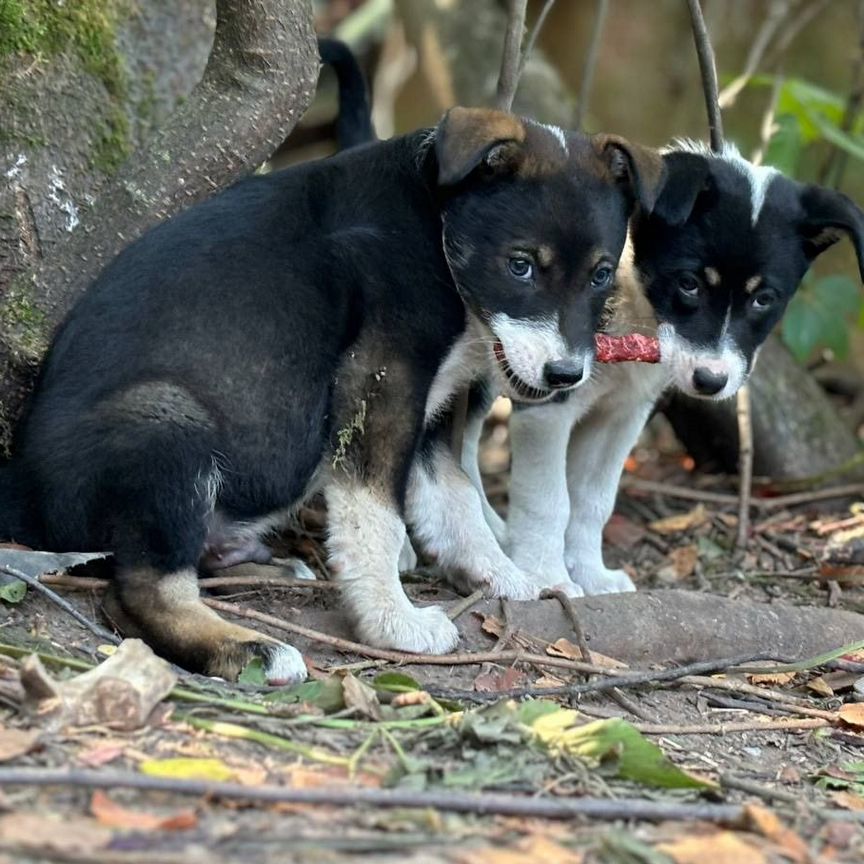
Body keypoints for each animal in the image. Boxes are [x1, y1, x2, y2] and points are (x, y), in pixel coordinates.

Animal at [0, 104, 664, 680]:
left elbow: (454, 500)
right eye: (520, 265)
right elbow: (380, 519)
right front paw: (393, 623)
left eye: (601, 275)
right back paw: (250, 648)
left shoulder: (423, 406)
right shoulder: (381, 383)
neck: (436, 227)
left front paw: (510, 578)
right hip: (166, 424)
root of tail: (24, 494)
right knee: (141, 592)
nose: (565, 376)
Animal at [472, 143, 864, 600]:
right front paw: (549, 578)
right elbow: (550, 500)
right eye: (689, 283)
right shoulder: (549, 406)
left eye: (764, 299)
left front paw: (591, 574)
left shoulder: (623, 413)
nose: (711, 382)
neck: (637, 309)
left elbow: (592, 499)